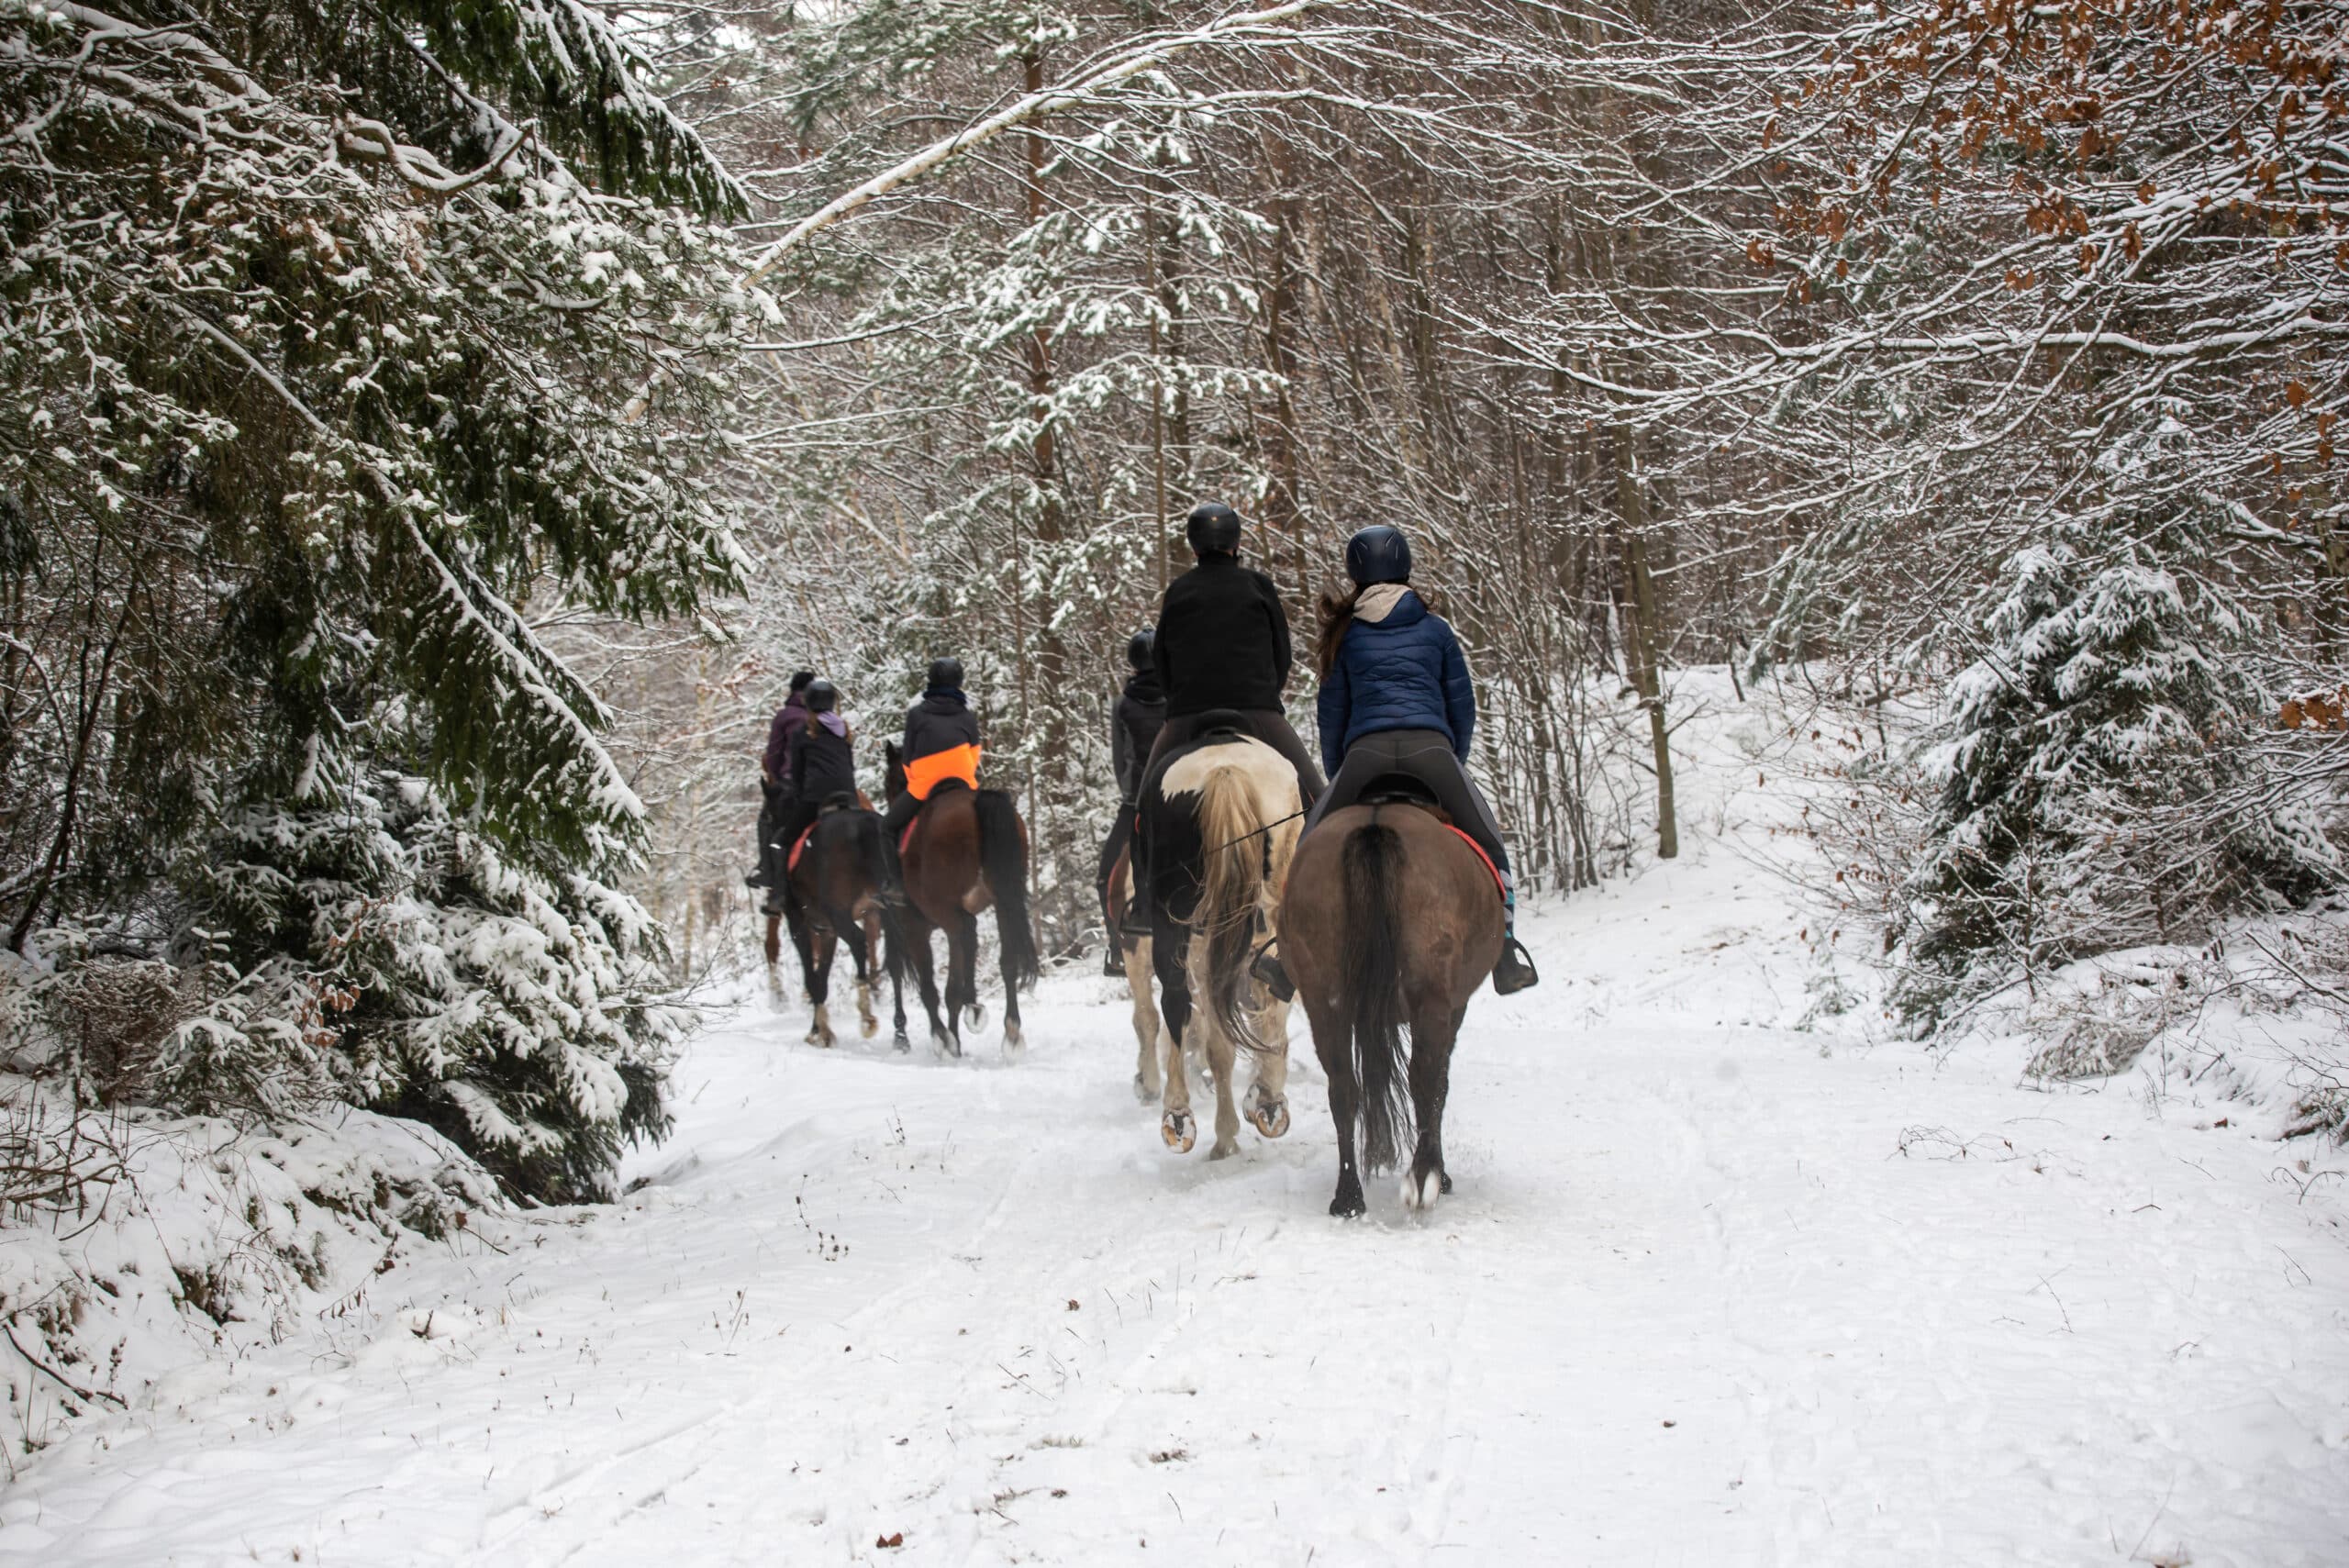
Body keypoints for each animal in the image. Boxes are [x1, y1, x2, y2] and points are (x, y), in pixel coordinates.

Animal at [780, 795, 901, 1049]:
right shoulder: (827, 931)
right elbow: (822, 977)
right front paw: (821, 1029)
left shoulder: (800, 925)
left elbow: (813, 977)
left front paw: (819, 1031)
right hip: (885, 911)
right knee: (896, 959)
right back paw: (899, 1033)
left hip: (841, 913)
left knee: (858, 942)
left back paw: (867, 1015)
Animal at [882, 742, 1040, 1055]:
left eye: (888, 783)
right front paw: (958, 1029)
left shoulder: (915, 927)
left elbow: (930, 988)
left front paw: (944, 1038)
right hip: (1003, 901)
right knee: (1005, 959)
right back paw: (1009, 1030)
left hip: (945, 912)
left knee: (965, 934)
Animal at [1134, 724, 1302, 1159]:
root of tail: (1224, 769)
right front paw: (1256, 1105)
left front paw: (1227, 1132)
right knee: (1272, 986)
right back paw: (1266, 1102)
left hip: (1178, 922)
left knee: (1178, 1001)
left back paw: (1179, 1114)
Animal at [1276, 787, 1505, 1218]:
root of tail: (1375, 825)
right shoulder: (1454, 1007)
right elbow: (1439, 1084)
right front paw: (1439, 1175)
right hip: (1431, 999)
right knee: (1425, 1080)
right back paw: (1425, 1178)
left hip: (1325, 1003)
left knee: (1343, 1089)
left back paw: (1348, 1196)